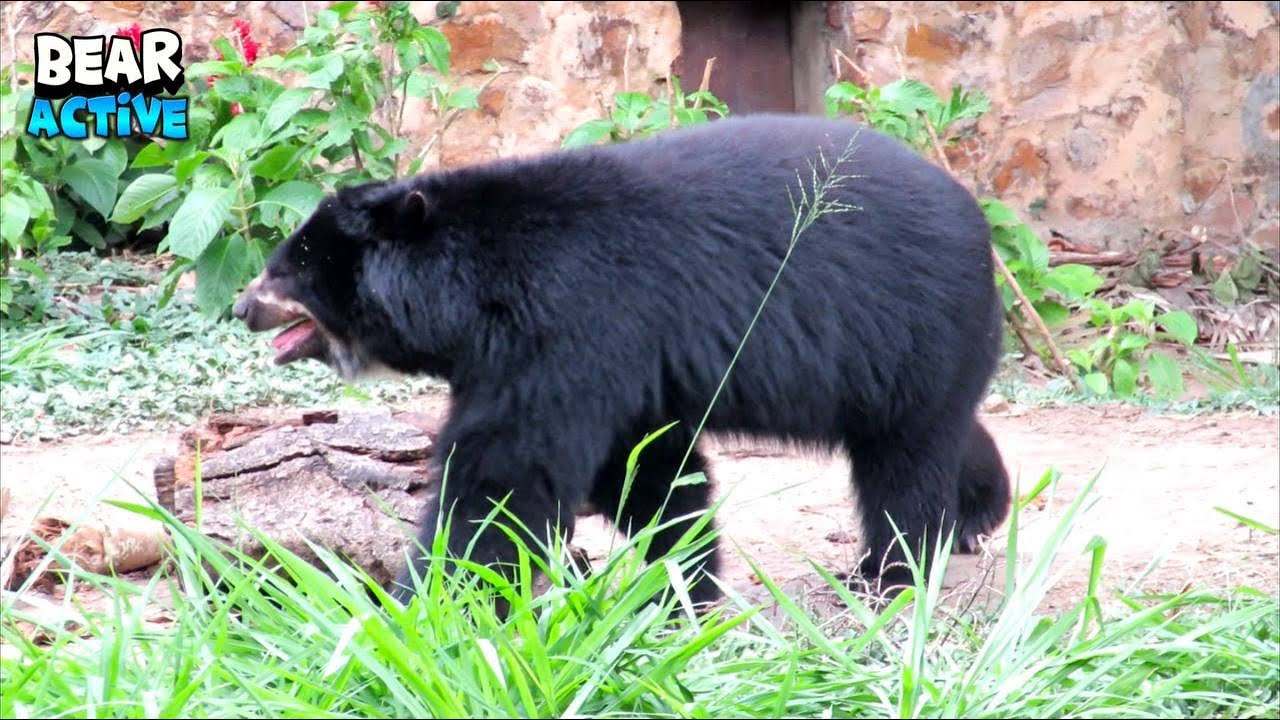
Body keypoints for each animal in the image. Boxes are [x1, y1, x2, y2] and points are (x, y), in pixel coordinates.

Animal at [232, 113, 1011, 607]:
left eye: (289, 268)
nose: (241, 305)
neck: (475, 296)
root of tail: (977, 221)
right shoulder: (614, 361)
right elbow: (647, 469)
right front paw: (686, 580)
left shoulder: (572, 323)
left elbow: (504, 476)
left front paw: (433, 607)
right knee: (932, 434)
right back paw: (979, 510)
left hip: (908, 327)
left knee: (902, 464)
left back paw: (890, 572)